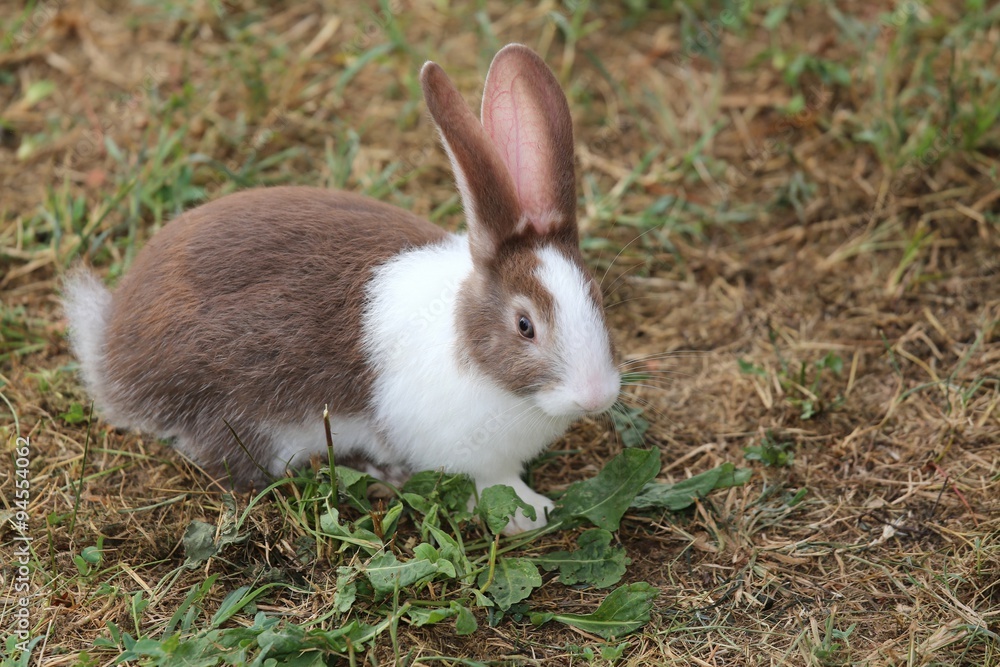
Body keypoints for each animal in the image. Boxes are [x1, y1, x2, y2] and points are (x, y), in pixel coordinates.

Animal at [63, 44, 621, 535]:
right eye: (525, 326)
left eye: (598, 298)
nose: (595, 396)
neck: (464, 340)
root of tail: (113, 357)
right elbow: (491, 485)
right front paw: (527, 515)